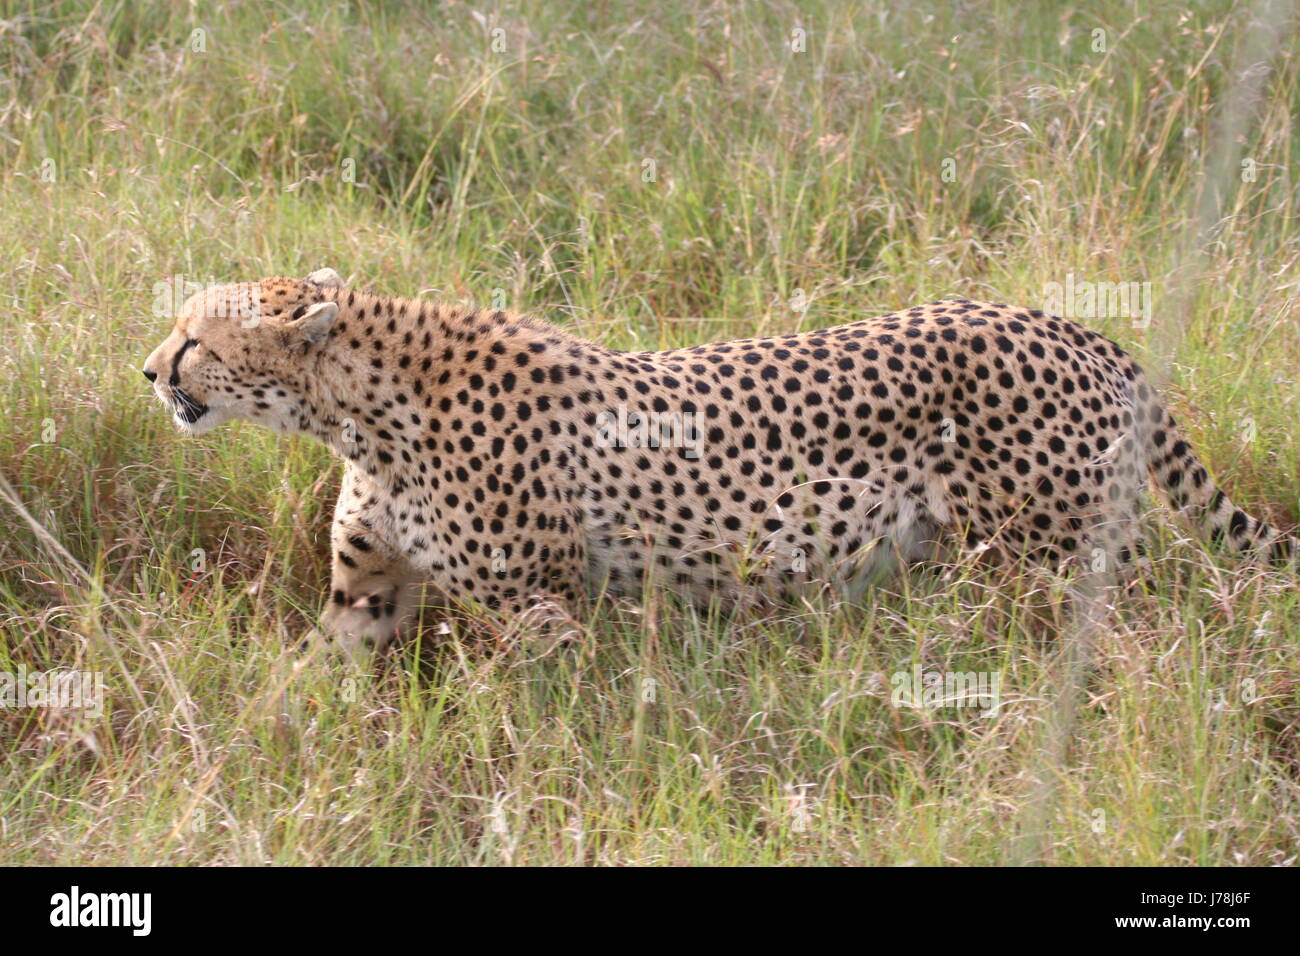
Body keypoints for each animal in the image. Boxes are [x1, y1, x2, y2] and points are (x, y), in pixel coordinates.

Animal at [142, 268, 1292, 657]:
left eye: (196, 338)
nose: (151, 371)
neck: (362, 410)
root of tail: (1070, 324)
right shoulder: (367, 594)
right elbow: (310, 680)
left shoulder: (541, 602)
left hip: (1062, 558)